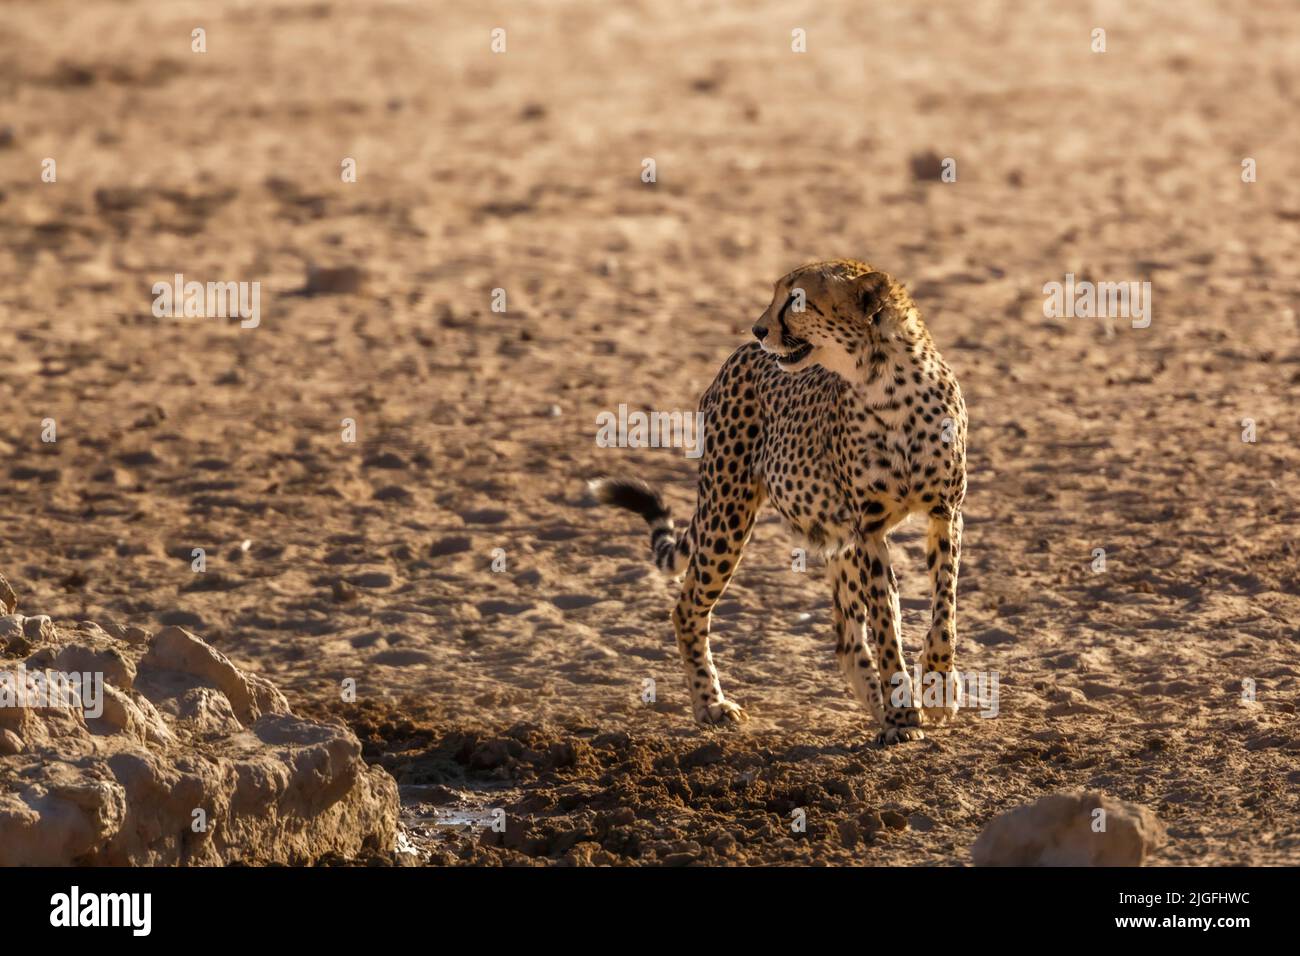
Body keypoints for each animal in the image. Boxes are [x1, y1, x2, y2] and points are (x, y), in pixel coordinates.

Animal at [591, 258, 967, 745]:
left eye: (796, 300)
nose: (759, 329)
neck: (886, 386)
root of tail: (735, 357)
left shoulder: (945, 514)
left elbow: (945, 611)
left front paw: (936, 692)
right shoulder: (869, 530)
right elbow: (887, 626)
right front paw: (903, 716)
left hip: (833, 535)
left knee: (846, 638)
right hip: (727, 511)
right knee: (687, 608)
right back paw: (712, 705)